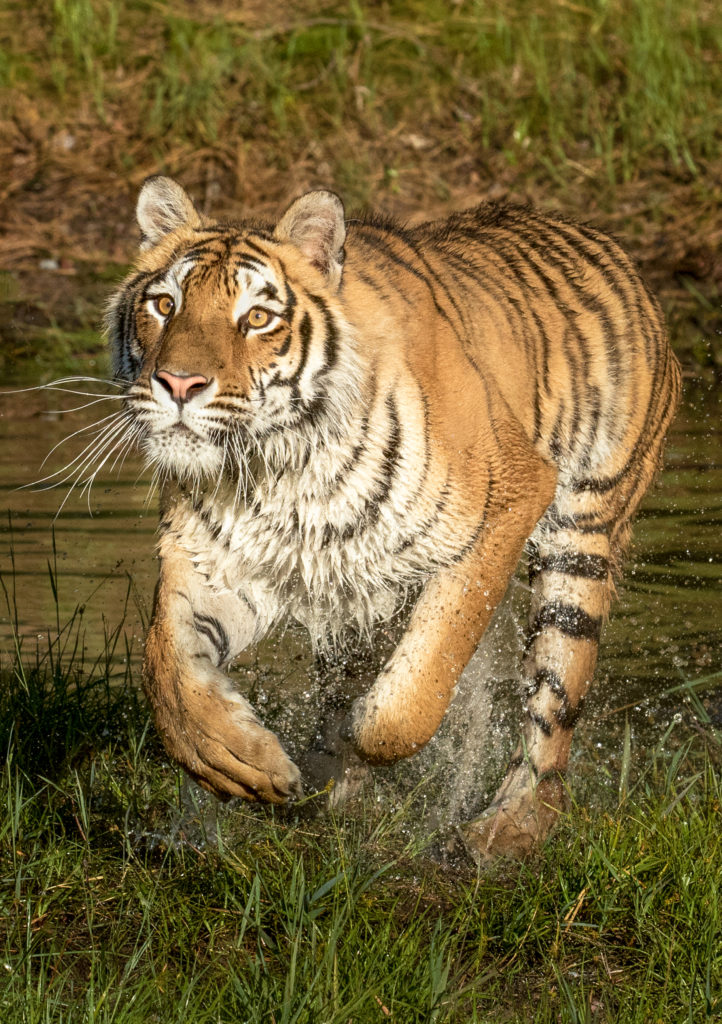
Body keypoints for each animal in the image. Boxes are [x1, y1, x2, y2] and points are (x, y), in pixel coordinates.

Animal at [105, 174, 681, 862]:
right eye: (165, 305)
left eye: (258, 318)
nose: (178, 383)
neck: (283, 463)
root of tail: (606, 245)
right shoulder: (213, 556)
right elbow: (168, 670)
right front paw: (242, 761)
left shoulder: (508, 498)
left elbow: (417, 687)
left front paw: (356, 739)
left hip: (583, 536)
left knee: (554, 701)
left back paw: (507, 829)